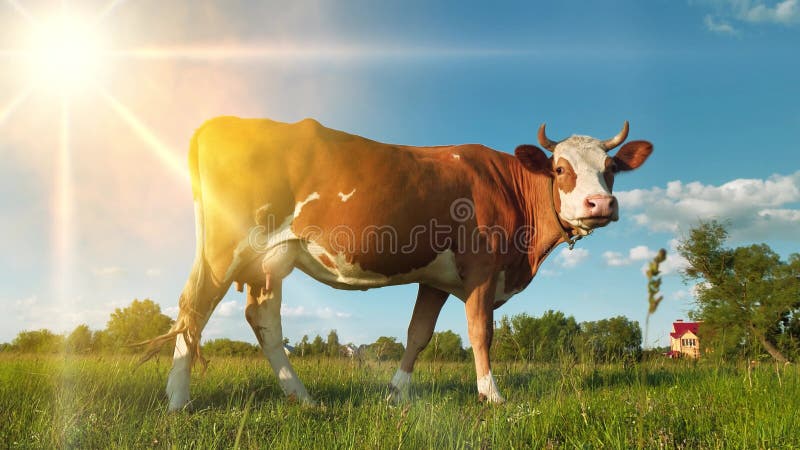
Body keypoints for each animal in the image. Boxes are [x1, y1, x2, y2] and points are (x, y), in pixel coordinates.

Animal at [139, 117, 652, 410]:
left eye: (611, 169)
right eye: (561, 169)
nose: (600, 204)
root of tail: (219, 121)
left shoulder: (437, 279)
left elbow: (418, 334)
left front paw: (396, 392)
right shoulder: (483, 270)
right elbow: (480, 332)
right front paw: (491, 395)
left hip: (270, 258)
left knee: (262, 320)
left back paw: (302, 398)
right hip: (225, 246)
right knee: (194, 308)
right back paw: (178, 400)